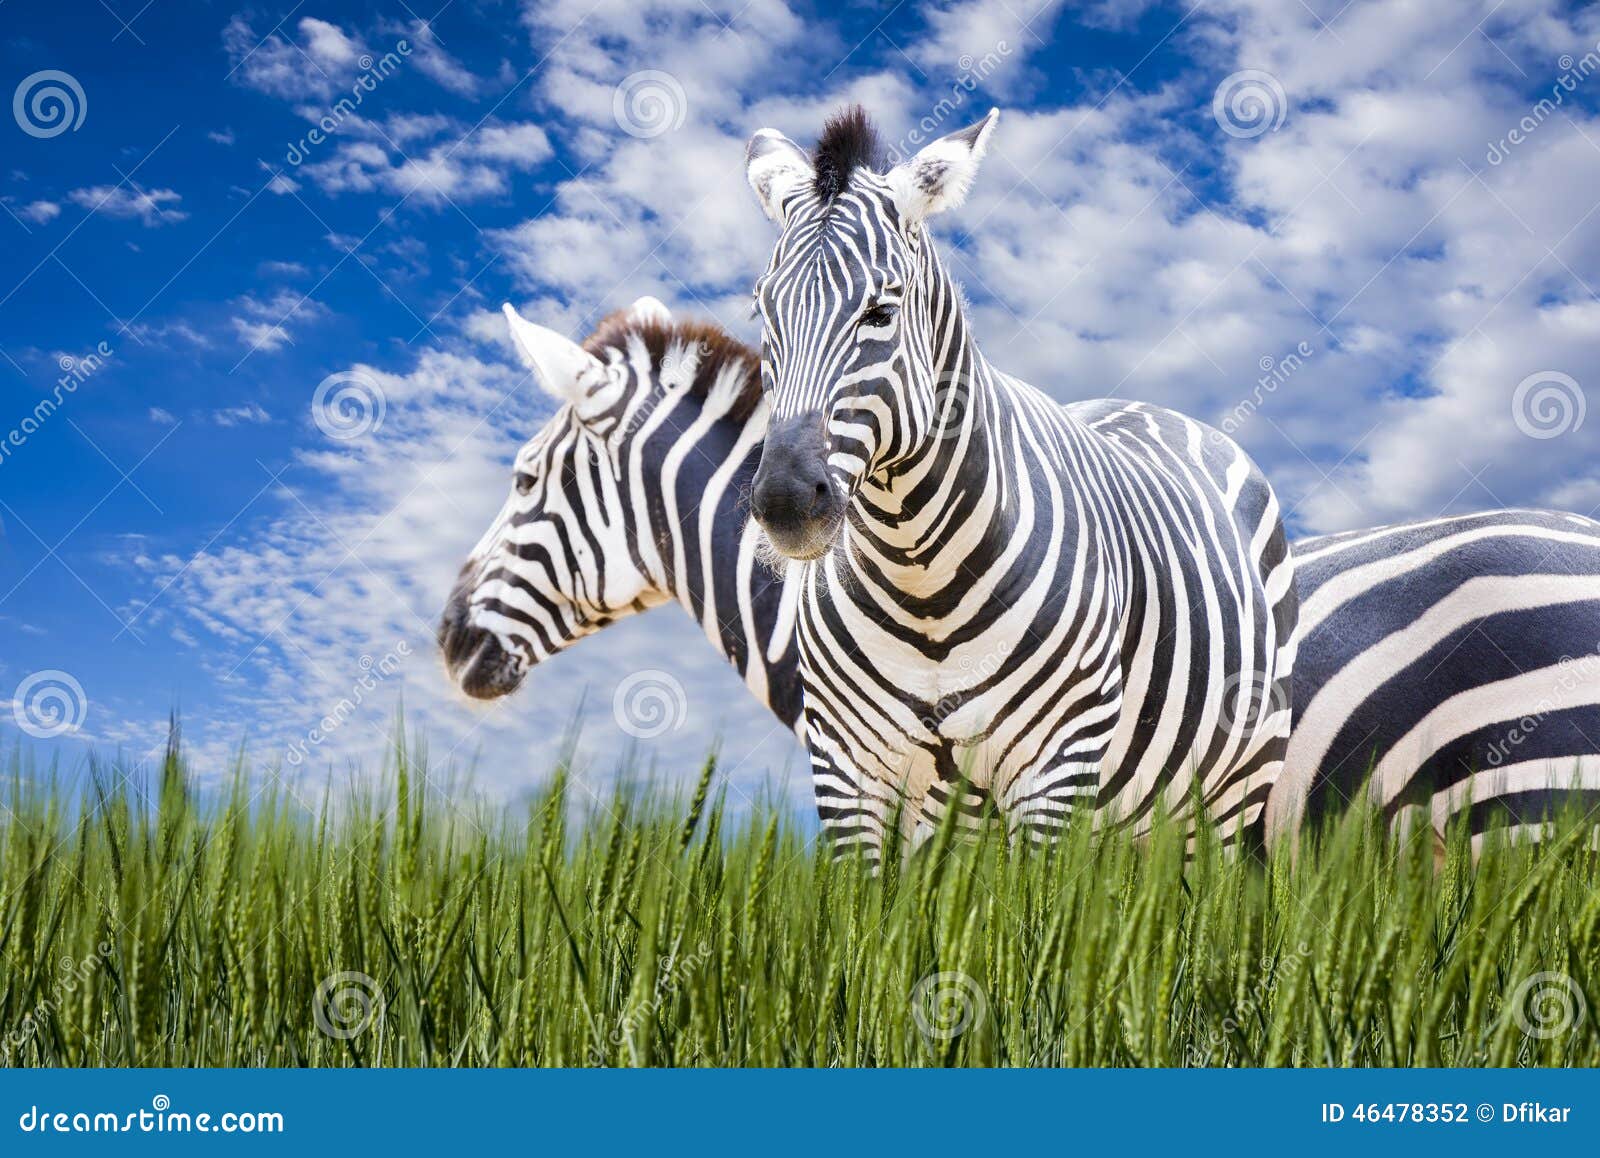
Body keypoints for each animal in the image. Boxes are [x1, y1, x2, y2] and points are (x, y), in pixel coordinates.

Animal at [739, 106, 1298, 859]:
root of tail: (1153, 408)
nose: (785, 503)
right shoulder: (849, 769)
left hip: (1235, 786)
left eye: (881, 313)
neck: (918, 573)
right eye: (761, 314)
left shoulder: (1053, 771)